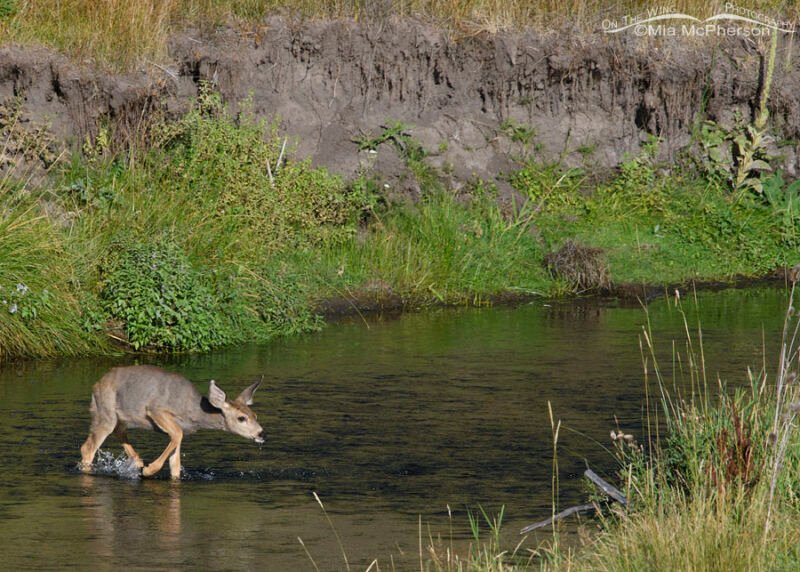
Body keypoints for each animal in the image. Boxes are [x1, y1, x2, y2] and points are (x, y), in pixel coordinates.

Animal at [79, 365, 264, 479]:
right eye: (241, 418)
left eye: (255, 415)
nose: (261, 433)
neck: (193, 411)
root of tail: (96, 384)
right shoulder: (156, 410)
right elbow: (177, 435)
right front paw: (149, 470)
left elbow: (175, 462)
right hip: (105, 413)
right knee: (88, 447)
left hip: (121, 417)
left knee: (118, 431)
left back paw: (137, 461)